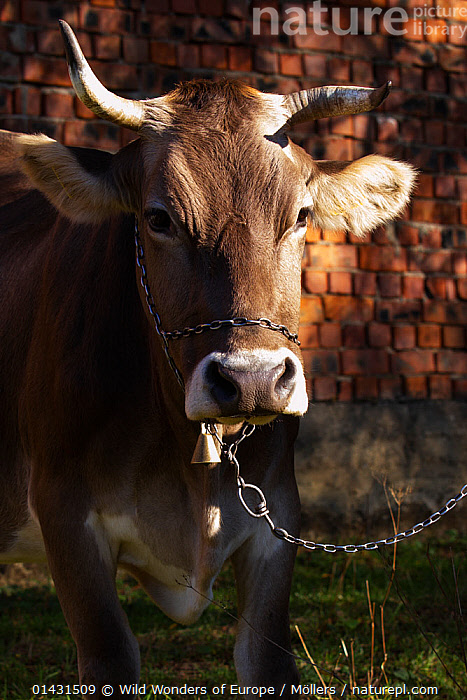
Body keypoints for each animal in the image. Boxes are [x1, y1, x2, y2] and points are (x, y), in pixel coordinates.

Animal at [0, 20, 415, 699]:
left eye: (301, 215)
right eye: (158, 218)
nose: (251, 380)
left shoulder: (277, 518)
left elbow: (266, 662)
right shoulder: (64, 513)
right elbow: (110, 657)